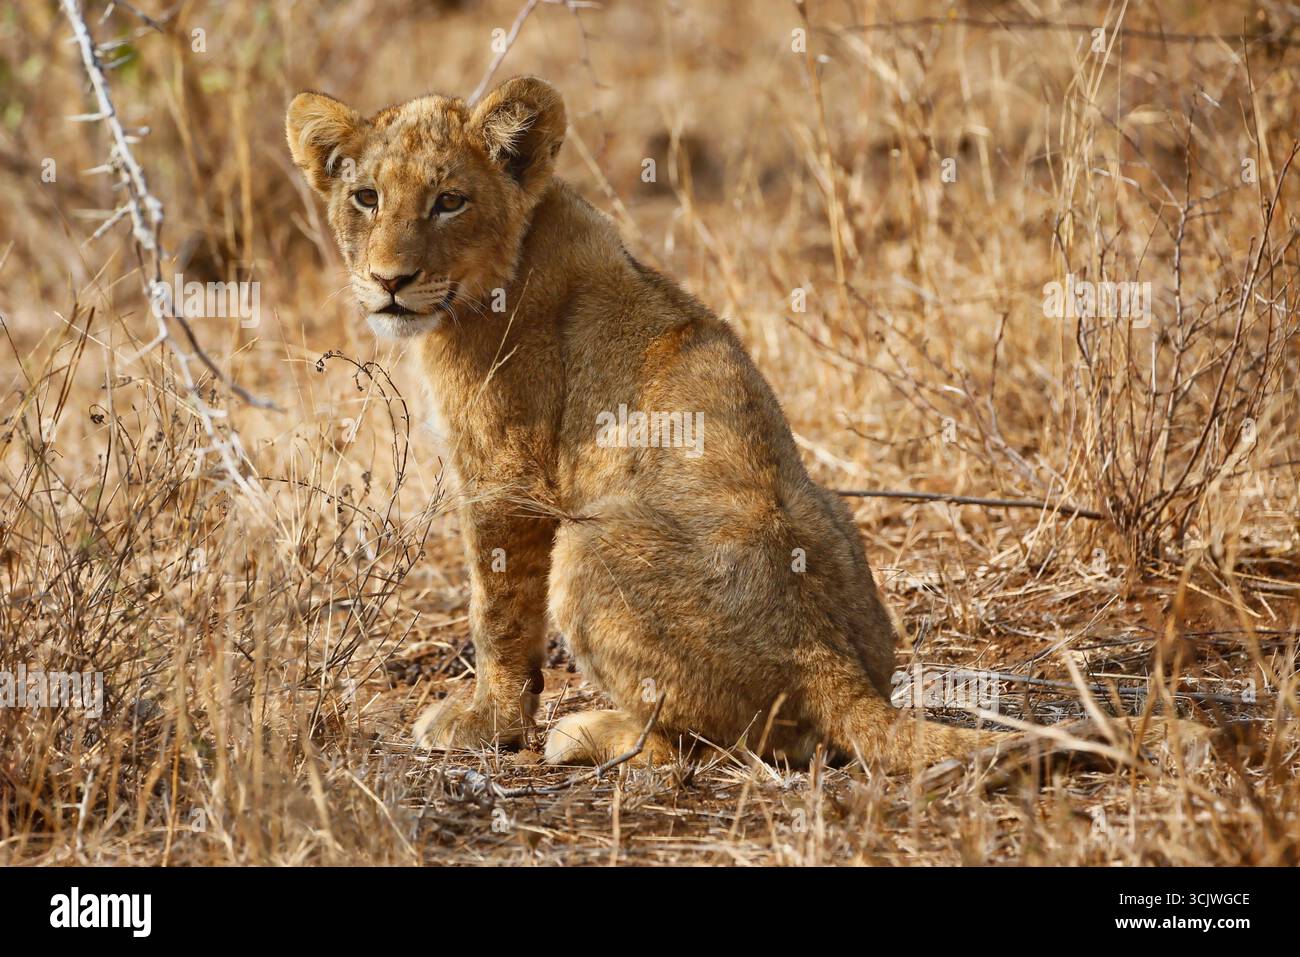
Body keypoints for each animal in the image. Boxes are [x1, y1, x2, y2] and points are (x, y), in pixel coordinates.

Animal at [285, 75, 1008, 772]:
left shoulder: (505, 476)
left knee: (701, 747)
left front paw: (489, 722)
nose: (390, 281)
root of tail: (830, 659)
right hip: (829, 511)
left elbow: (497, 610)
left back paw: (590, 733)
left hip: (589, 543)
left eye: (449, 201)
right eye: (366, 197)